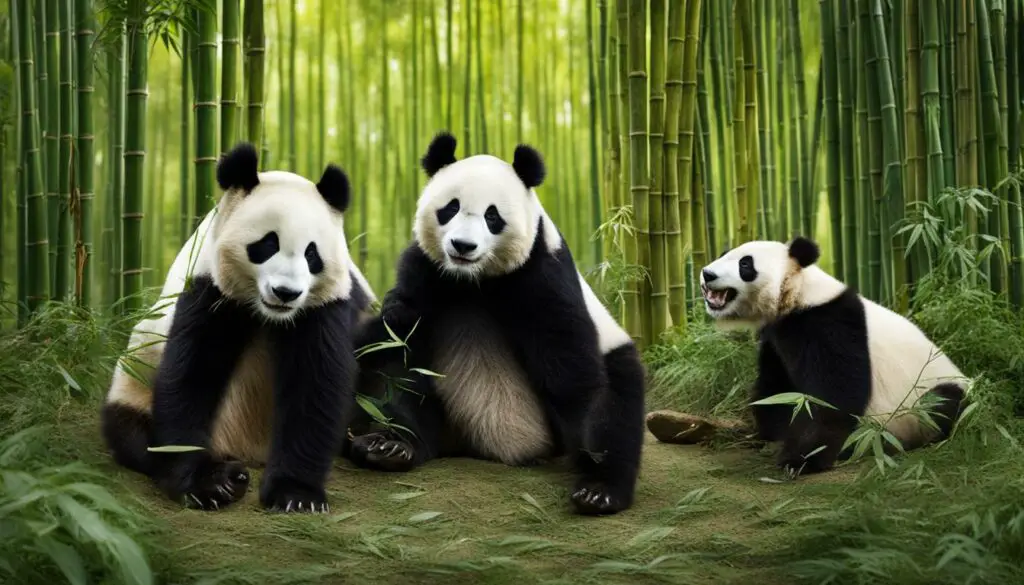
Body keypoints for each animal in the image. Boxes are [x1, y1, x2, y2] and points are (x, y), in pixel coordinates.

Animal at [101, 142, 375, 513]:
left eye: (312, 254)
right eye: (268, 244)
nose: (285, 293)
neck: (268, 314)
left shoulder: (323, 306)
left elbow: (316, 385)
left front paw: (296, 494)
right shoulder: (210, 290)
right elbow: (192, 376)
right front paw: (207, 484)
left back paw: (379, 446)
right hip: (134, 379)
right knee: (132, 432)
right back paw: (230, 475)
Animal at [344, 132, 646, 516]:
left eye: (492, 216)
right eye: (451, 208)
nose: (462, 246)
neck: (472, 280)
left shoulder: (542, 273)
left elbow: (572, 373)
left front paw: (594, 478)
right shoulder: (425, 271)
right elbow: (397, 349)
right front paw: (390, 438)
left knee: (619, 399)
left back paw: (602, 491)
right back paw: (389, 447)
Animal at [698, 236, 971, 474]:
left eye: (745, 264)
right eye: (723, 254)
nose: (707, 274)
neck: (796, 292)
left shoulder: (830, 324)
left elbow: (834, 397)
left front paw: (800, 459)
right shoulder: (778, 338)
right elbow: (777, 389)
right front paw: (770, 434)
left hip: (928, 402)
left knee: (941, 403)